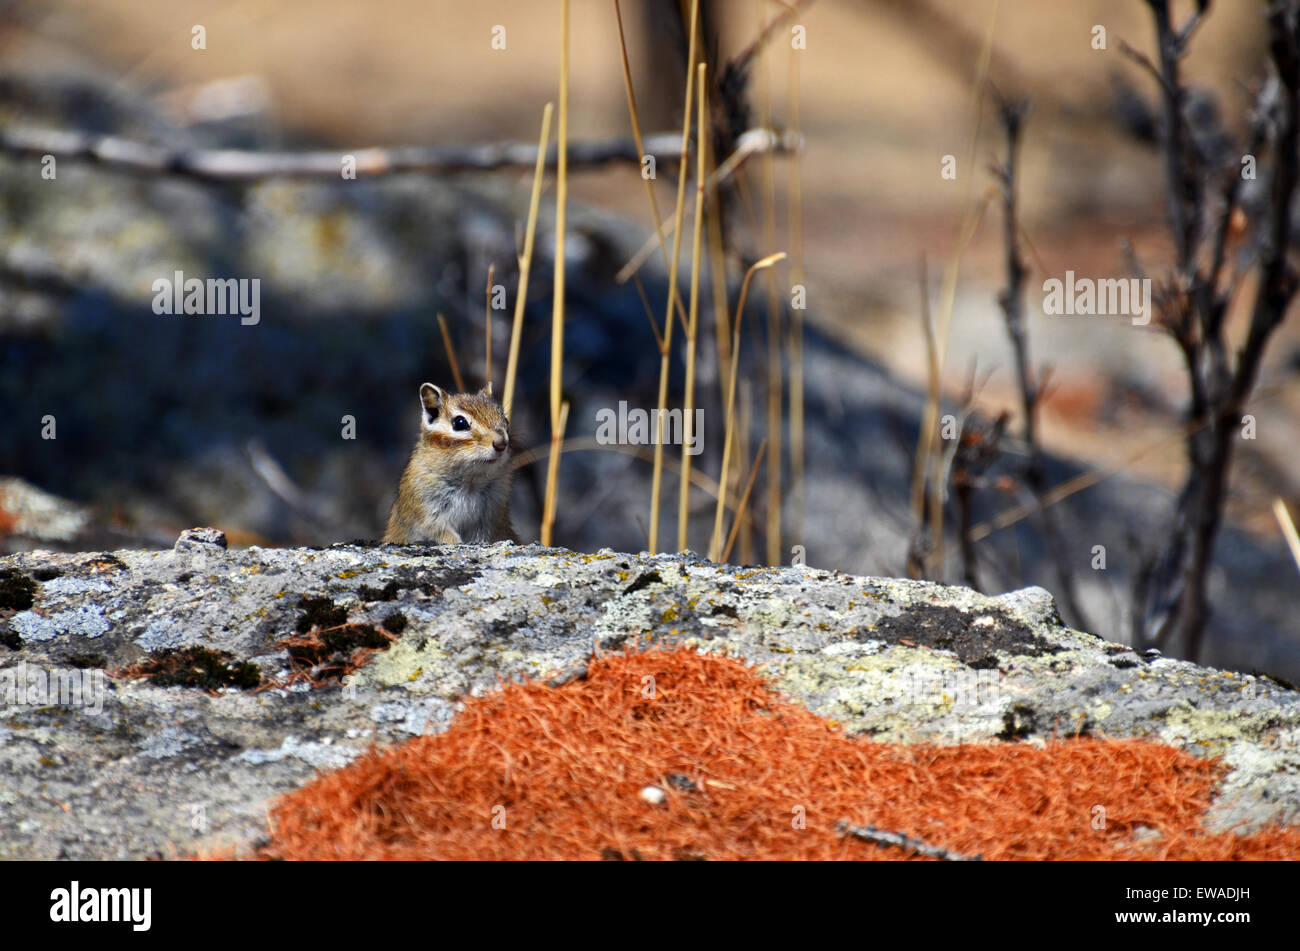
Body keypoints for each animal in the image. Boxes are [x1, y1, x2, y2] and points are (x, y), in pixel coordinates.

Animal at [382, 382, 516, 544]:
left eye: (506, 420)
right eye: (460, 423)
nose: (501, 443)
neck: (470, 483)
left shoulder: (491, 517)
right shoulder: (426, 512)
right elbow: (441, 533)